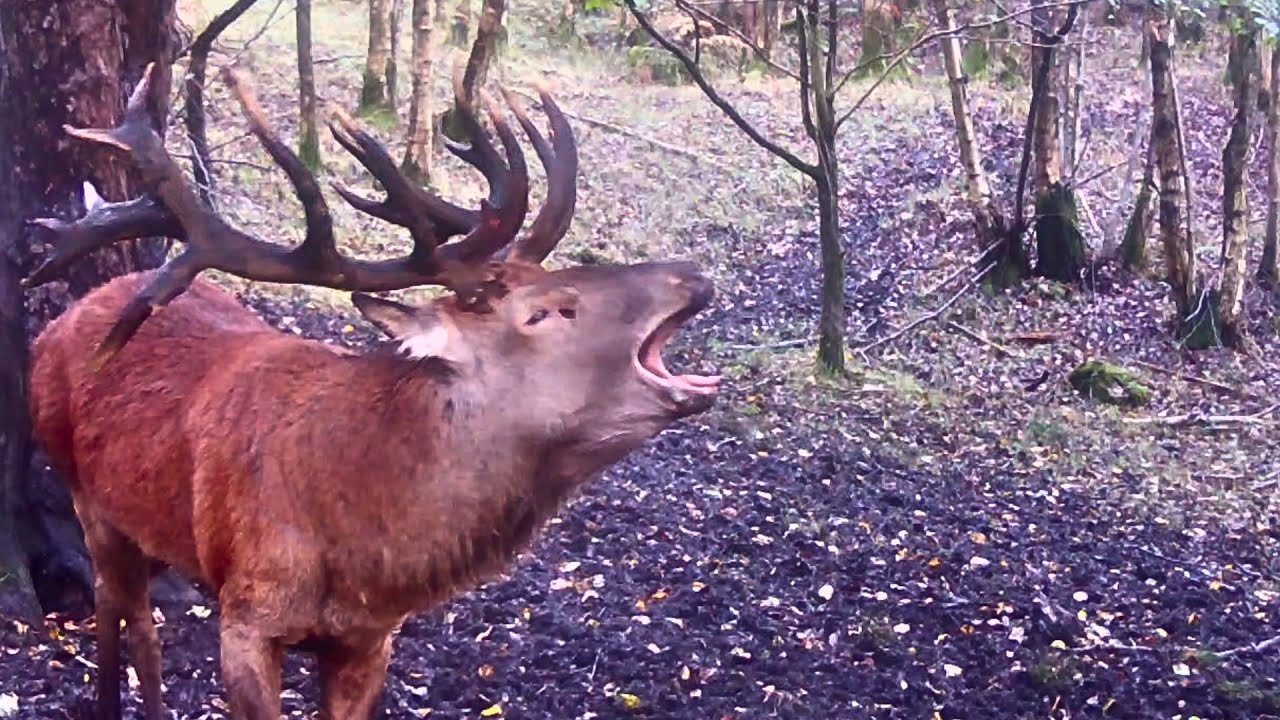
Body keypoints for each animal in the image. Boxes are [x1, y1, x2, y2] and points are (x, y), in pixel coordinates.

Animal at [24, 63, 720, 720]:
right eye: (545, 312)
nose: (692, 276)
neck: (362, 551)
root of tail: (70, 314)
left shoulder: (371, 638)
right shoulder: (246, 619)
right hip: (85, 493)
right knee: (121, 612)